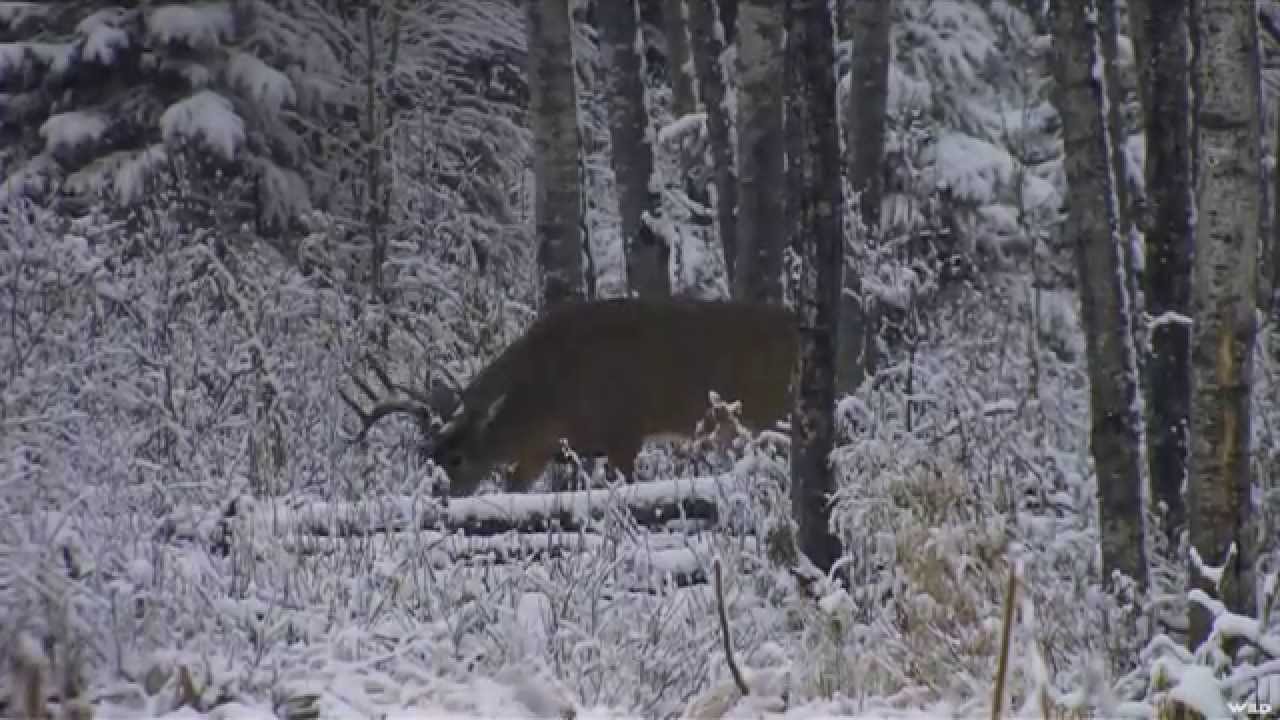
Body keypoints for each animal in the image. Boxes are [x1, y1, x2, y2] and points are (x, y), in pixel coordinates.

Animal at [342, 299, 800, 496]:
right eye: (428, 456)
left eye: (456, 458)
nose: (441, 498)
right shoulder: (543, 451)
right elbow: (515, 486)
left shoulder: (624, 429)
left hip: (772, 409)